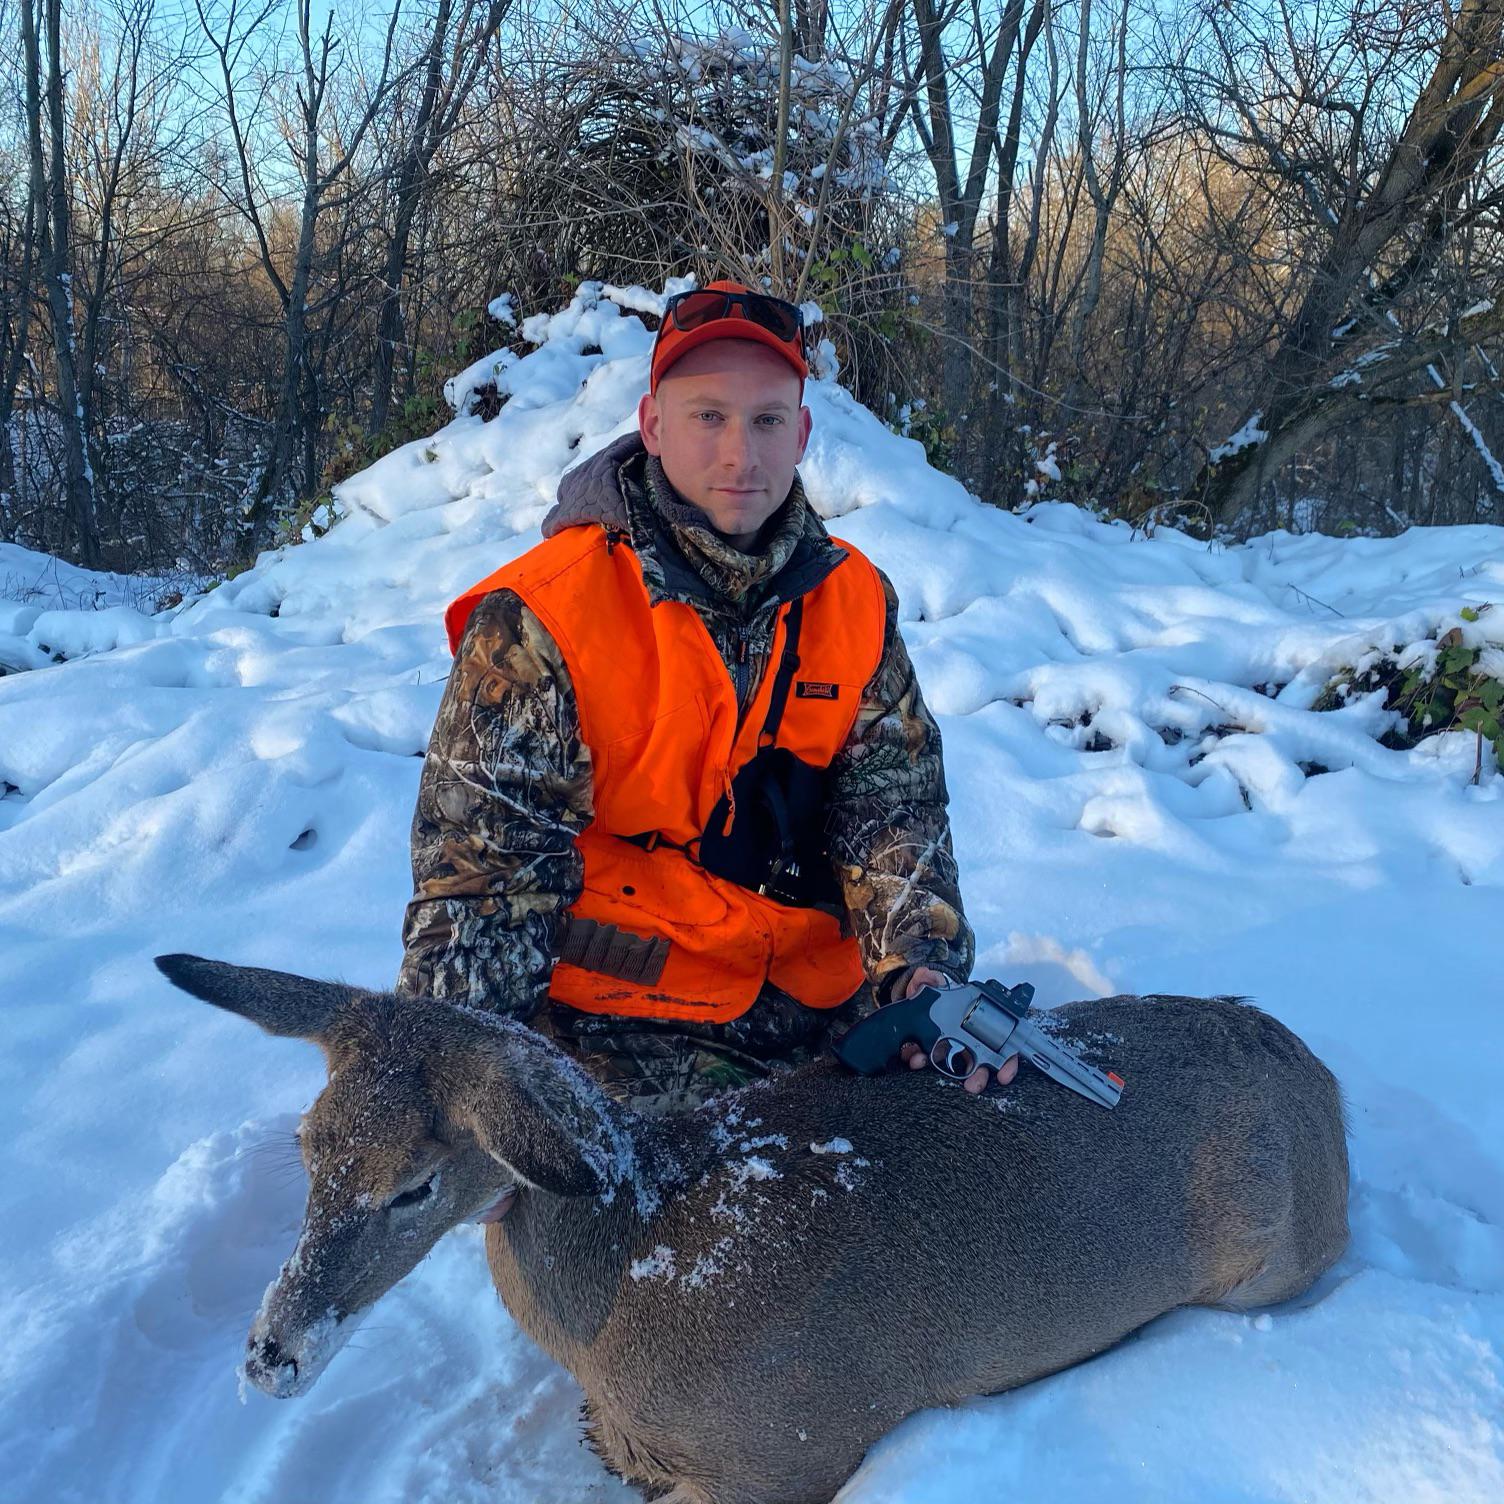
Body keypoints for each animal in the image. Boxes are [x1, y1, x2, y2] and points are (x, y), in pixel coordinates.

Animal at [155, 953, 1350, 1504]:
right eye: (308, 1147)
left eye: (411, 1187)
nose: (270, 1355)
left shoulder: (792, 1449)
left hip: (1268, 1264)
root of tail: (1317, 1071)